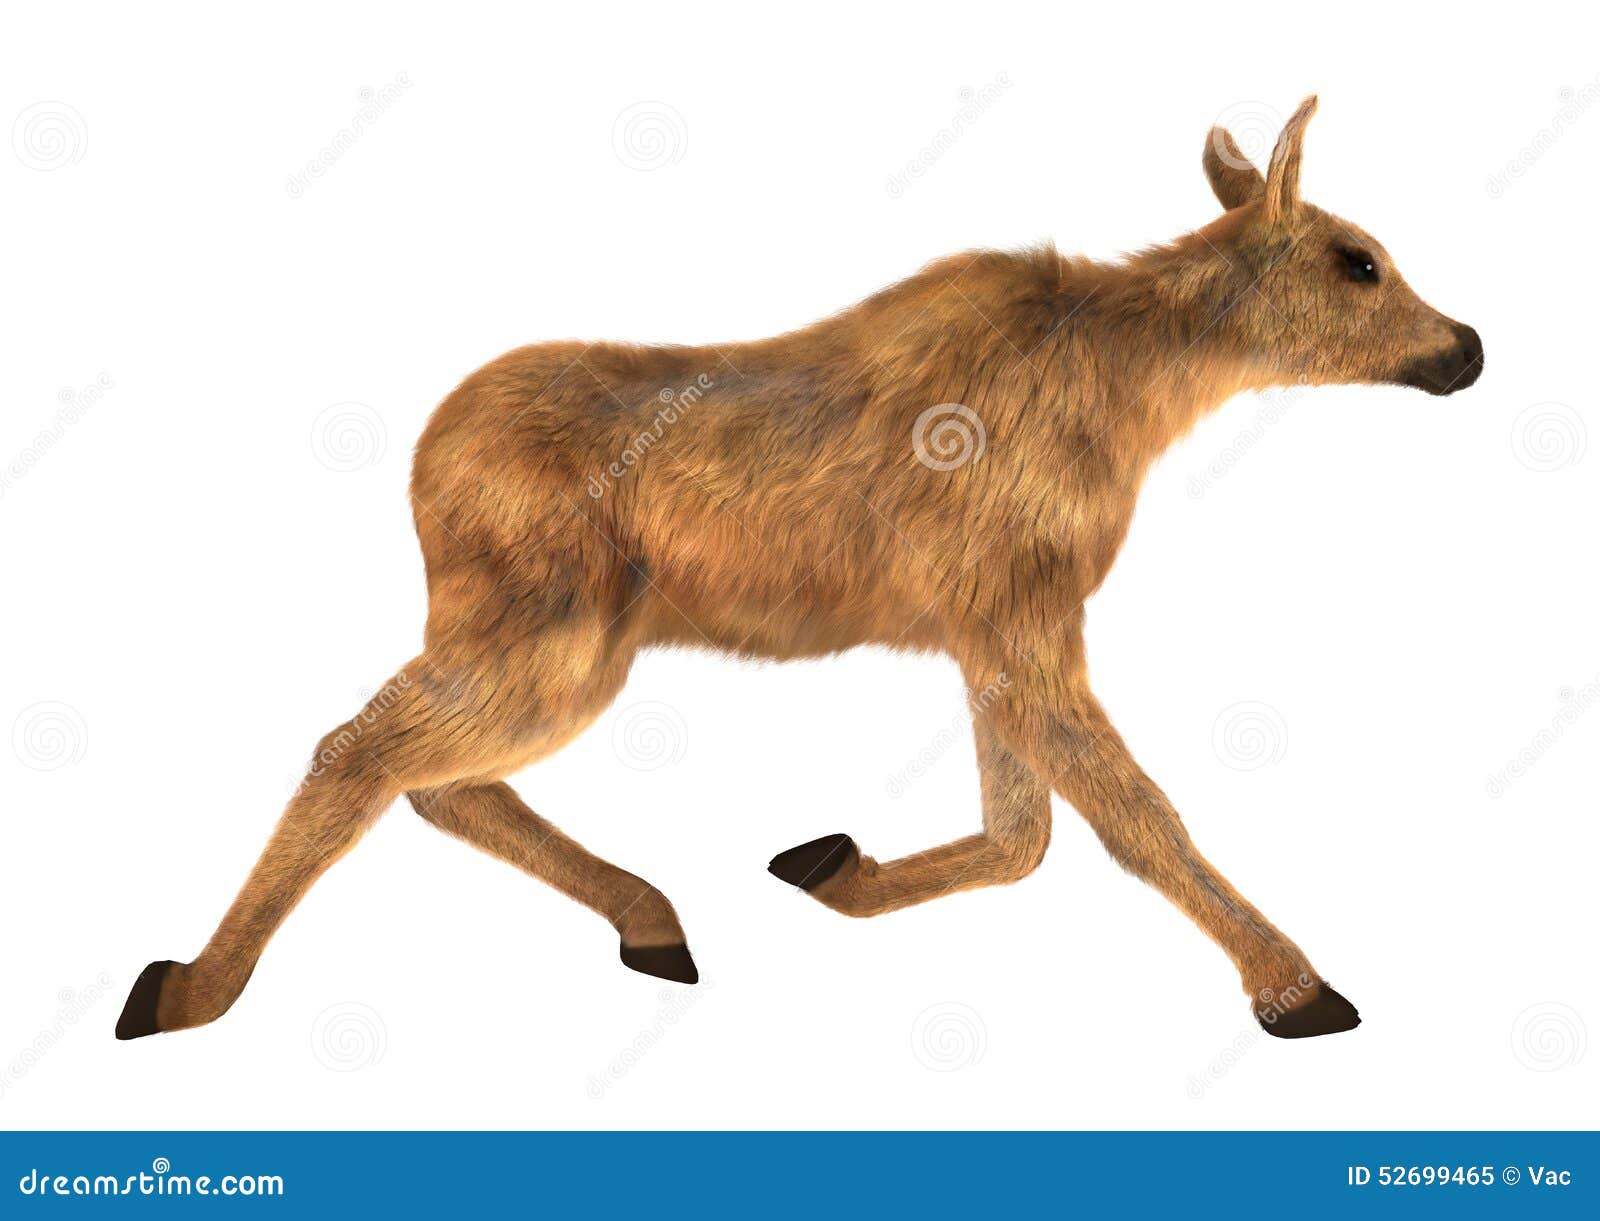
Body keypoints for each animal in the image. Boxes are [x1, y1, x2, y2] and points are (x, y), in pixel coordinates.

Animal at [118, 96, 1482, 1043]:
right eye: (1359, 259)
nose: (1464, 345)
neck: (1143, 400)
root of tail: (418, 467)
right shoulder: (1019, 610)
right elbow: (1127, 817)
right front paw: (1294, 984)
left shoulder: (988, 629)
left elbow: (1024, 832)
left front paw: (835, 868)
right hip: (542, 636)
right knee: (361, 750)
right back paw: (186, 987)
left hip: (561, 645)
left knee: (437, 780)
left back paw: (651, 921)